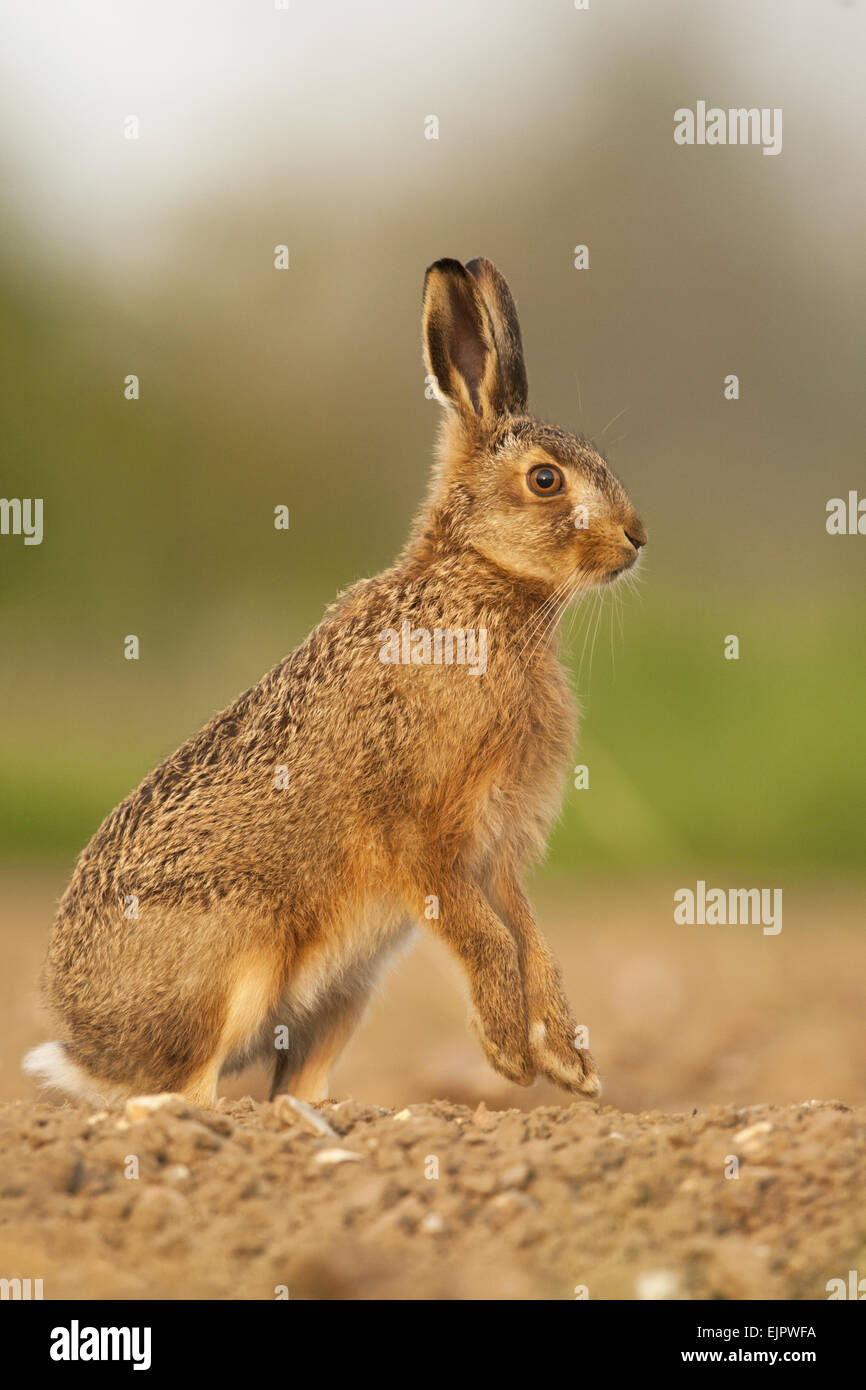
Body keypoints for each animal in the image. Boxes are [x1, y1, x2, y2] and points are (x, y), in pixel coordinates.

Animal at [24, 256, 646, 1110]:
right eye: (546, 481)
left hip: (346, 994)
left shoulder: (496, 849)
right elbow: (486, 934)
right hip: (242, 948)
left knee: (289, 1083)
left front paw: (566, 1063)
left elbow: (530, 934)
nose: (637, 538)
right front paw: (510, 1055)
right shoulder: (420, 834)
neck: (478, 589)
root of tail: (93, 1050)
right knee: (186, 1095)